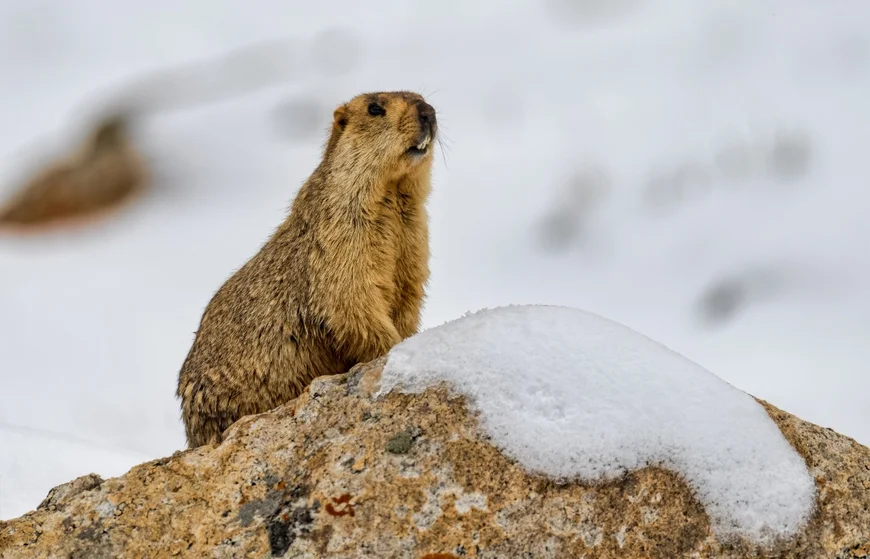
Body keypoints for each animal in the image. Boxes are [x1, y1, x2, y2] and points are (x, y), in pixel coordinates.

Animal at [177, 91, 437, 447]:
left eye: (423, 97)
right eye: (375, 109)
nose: (429, 112)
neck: (394, 195)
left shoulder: (415, 243)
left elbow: (408, 294)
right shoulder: (340, 237)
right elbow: (350, 298)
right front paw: (389, 348)